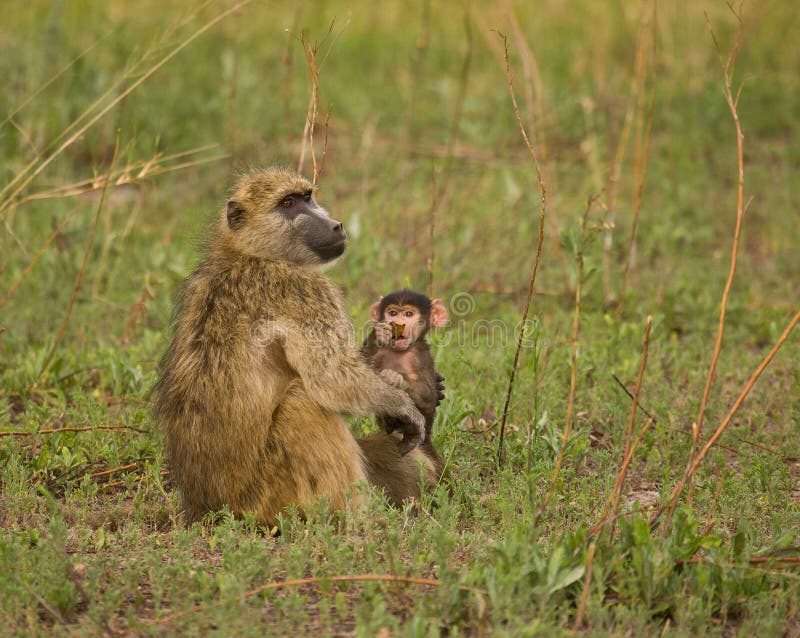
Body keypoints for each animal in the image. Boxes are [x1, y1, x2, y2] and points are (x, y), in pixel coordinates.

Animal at [360, 289, 449, 495]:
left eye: (409, 314)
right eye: (393, 313)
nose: (399, 322)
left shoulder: (421, 356)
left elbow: (428, 396)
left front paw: (396, 379)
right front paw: (377, 336)